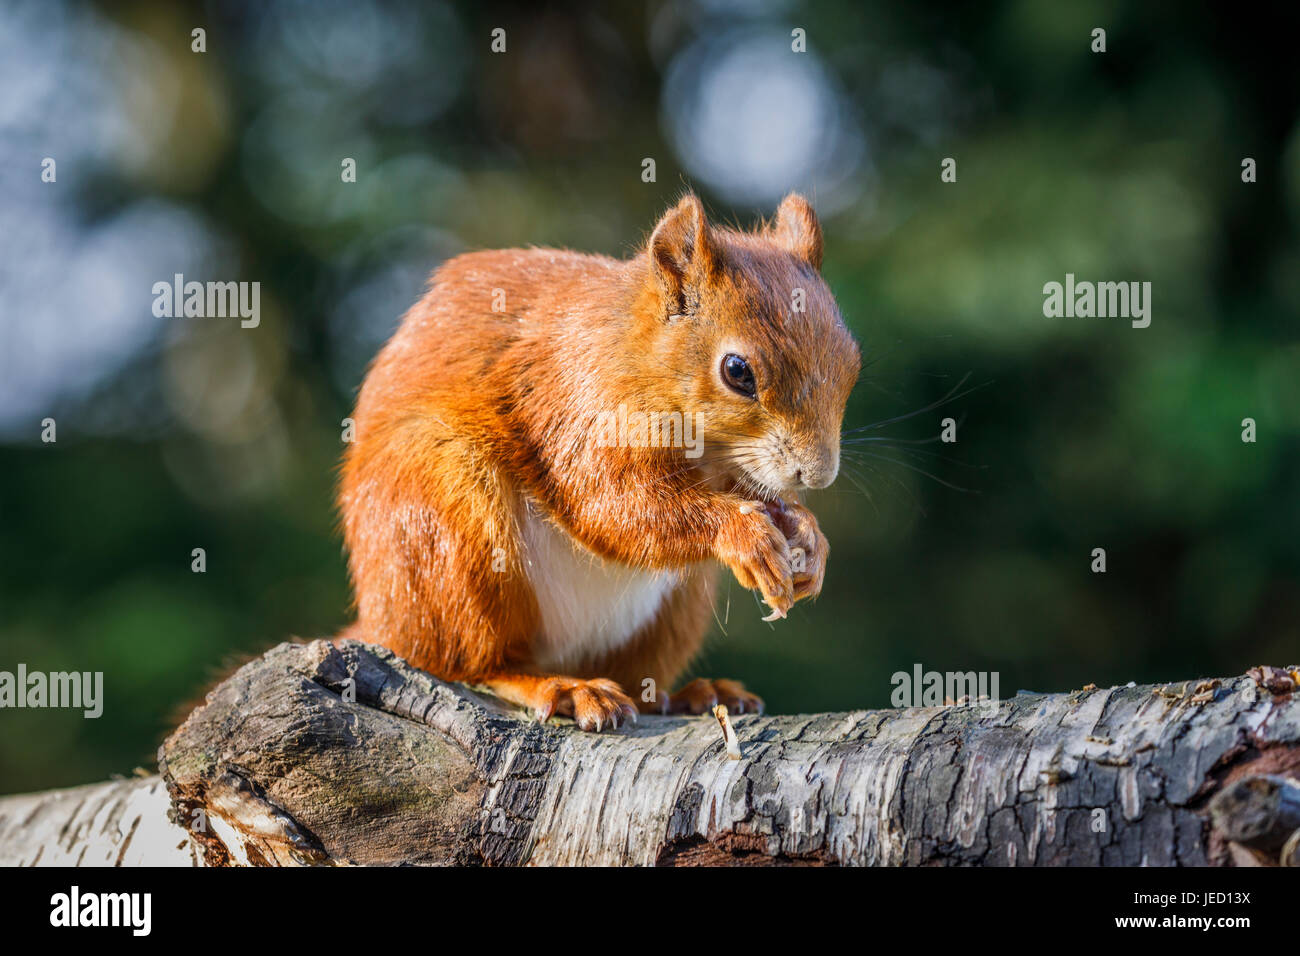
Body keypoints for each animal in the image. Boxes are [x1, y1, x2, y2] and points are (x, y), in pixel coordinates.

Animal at [338, 192, 861, 731]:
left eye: (852, 361)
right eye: (737, 371)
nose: (817, 474)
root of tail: (379, 620)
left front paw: (806, 534)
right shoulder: (575, 403)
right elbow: (608, 503)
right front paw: (743, 532)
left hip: (679, 604)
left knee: (641, 681)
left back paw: (692, 693)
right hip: (446, 527)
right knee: (468, 662)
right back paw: (560, 686)